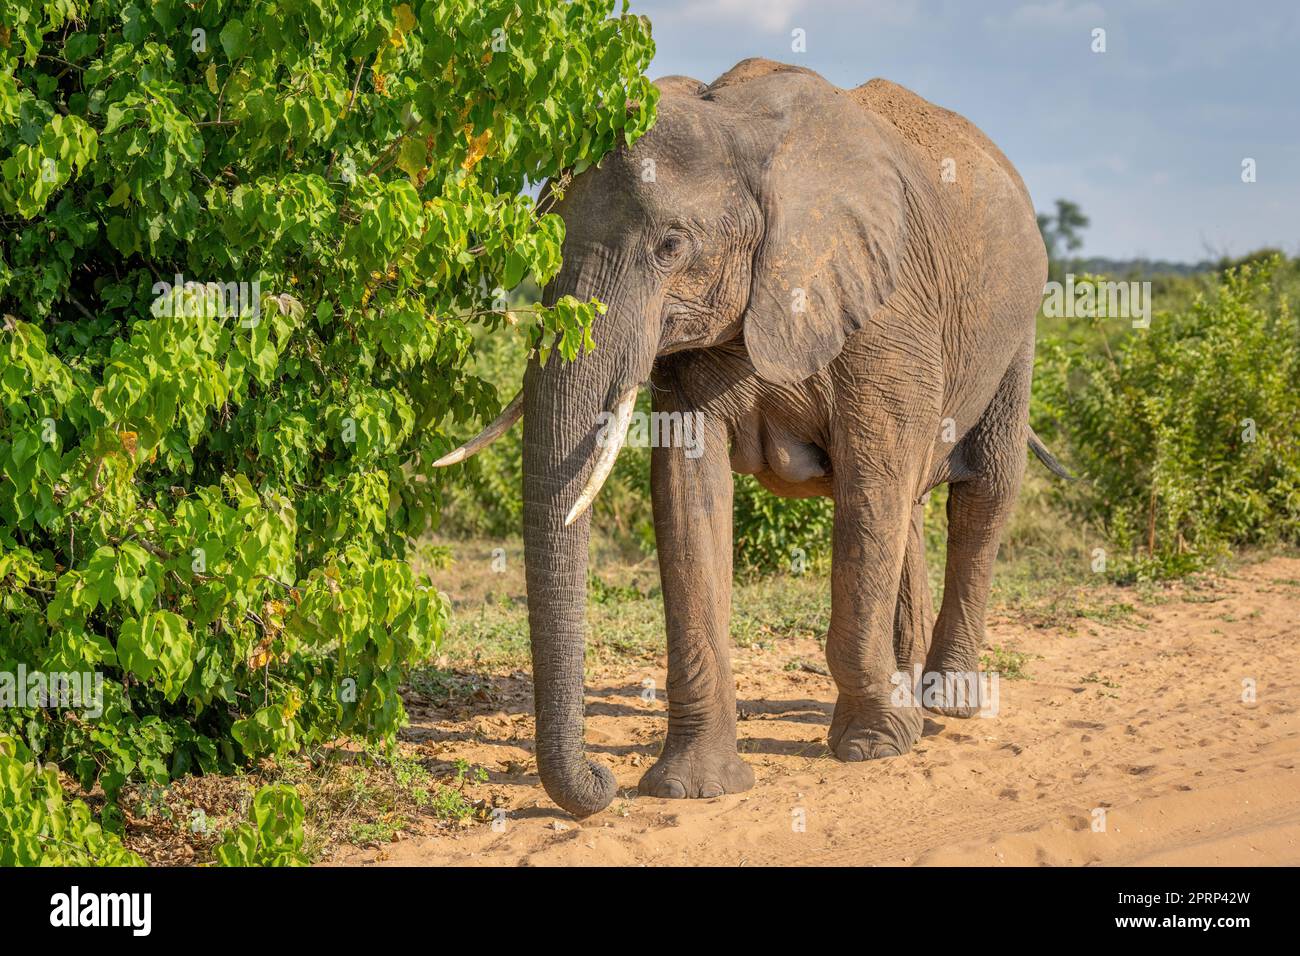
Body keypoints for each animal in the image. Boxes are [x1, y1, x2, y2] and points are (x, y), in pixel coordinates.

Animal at [436, 58, 1068, 818]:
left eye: (671, 247)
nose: (602, 781)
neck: (737, 130)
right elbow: (688, 495)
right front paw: (692, 789)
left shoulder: (887, 314)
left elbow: (871, 486)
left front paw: (872, 748)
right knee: (911, 506)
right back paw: (911, 698)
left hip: (1018, 328)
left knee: (979, 495)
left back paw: (946, 706)